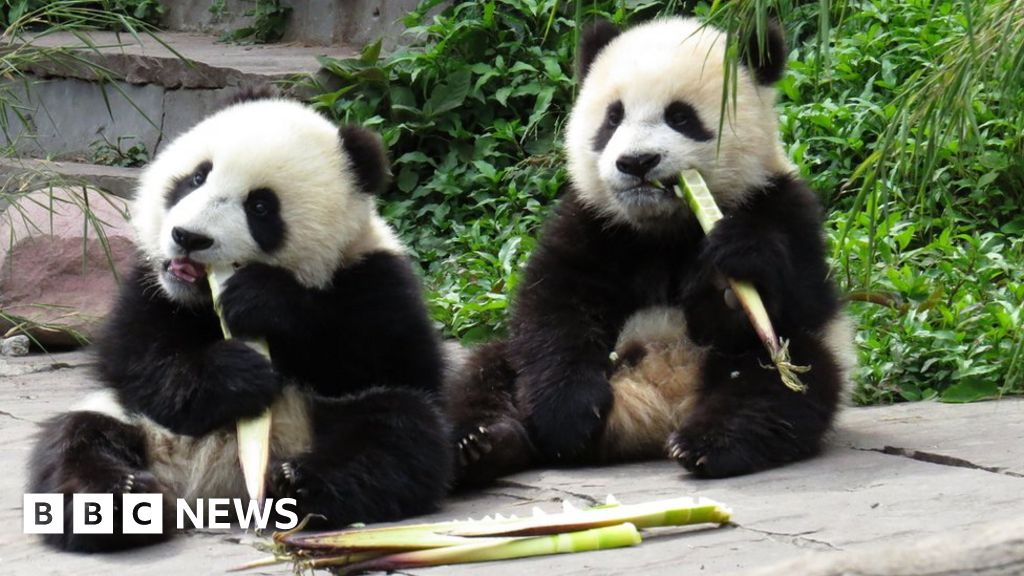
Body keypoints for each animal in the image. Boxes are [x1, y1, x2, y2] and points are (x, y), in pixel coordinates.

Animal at [28, 92, 452, 552]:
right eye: (197, 177)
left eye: (261, 206)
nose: (188, 237)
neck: (202, 298)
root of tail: (212, 489)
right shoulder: (149, 285)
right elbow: (136, 355)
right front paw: (238, 374)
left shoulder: (375, 275)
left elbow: (394, 360)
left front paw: (261, 299)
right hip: (137, 422)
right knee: (76, 440)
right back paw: (119, 502)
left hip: (313, 425)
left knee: (398, 430)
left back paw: (296, 485)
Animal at [445, 16, 856, 484]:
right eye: (613, 118)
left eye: (680, 116)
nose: (636, 162)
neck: (665, 226)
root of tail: (654, 412)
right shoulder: (592, 221)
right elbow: (555, 308)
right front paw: (567, 419)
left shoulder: (781, 203)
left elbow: (803, 300)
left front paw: (732, 269)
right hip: (515, 365)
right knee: (486, 371)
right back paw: (483, 443)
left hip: (787, 363)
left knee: (781, 382)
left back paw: (705, 445)